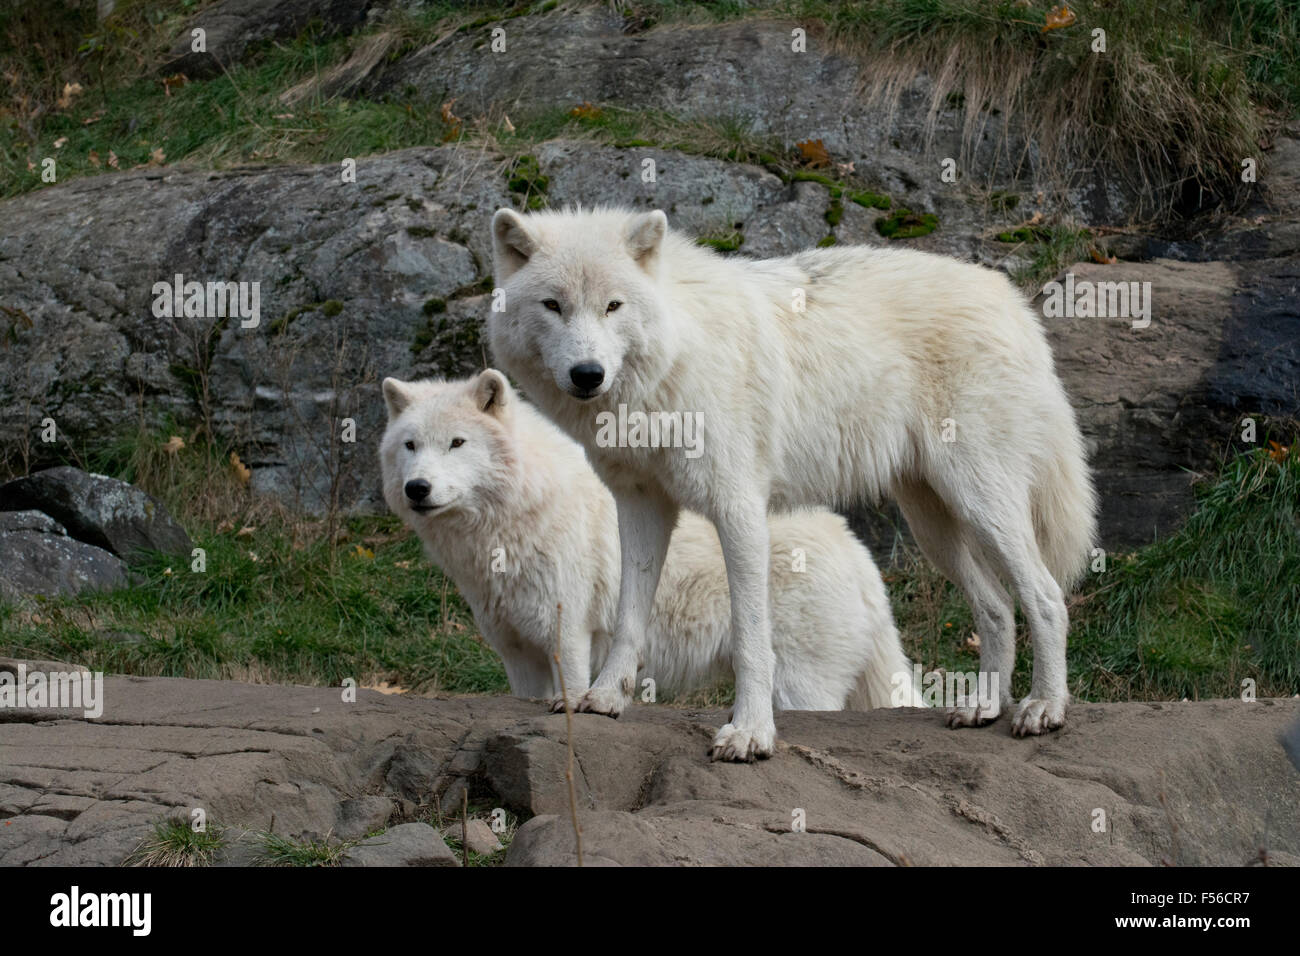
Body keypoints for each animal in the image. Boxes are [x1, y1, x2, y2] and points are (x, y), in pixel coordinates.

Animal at [379, 369, 921, 711]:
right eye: (410, 445)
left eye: (457, 443)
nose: (417, 489)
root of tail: (859, 554)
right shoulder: (516, 654)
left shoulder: (569, 638)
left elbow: (571, 692)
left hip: (798, 686)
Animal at [487, 206, 1097, 761]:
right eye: (553, 305)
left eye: (613, 306)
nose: (587, 374)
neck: (676, 355)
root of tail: (1011, 299)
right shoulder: (642, 505)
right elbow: (627, 619)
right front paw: (605, 698)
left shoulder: (739, 508)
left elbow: (752, 637)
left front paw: (750, 733)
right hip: (934, 526)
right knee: (997, 608)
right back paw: (984, 706)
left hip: (980, 502)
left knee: (1046, 597)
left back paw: (1044, 707)